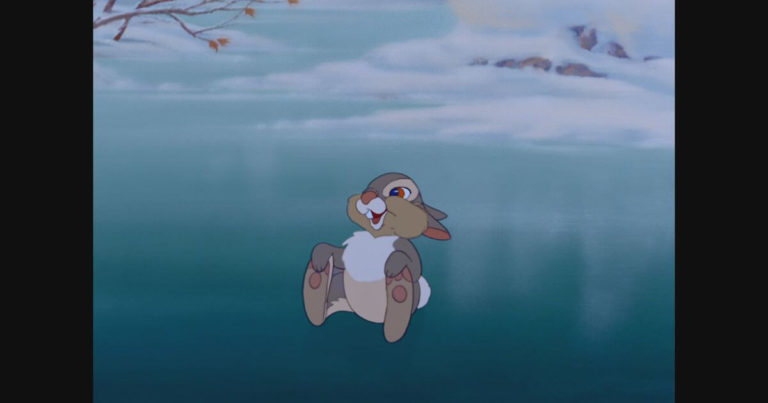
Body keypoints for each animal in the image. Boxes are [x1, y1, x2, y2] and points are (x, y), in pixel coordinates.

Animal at [302, 172, 451, 343]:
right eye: (368, 186)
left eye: (398, 192)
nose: (366, 196)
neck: (376, 239)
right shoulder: (348, 253)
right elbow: (335, 254)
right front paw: (319, 255)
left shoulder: (408, 252)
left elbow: (413, 268)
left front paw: (393, 266)